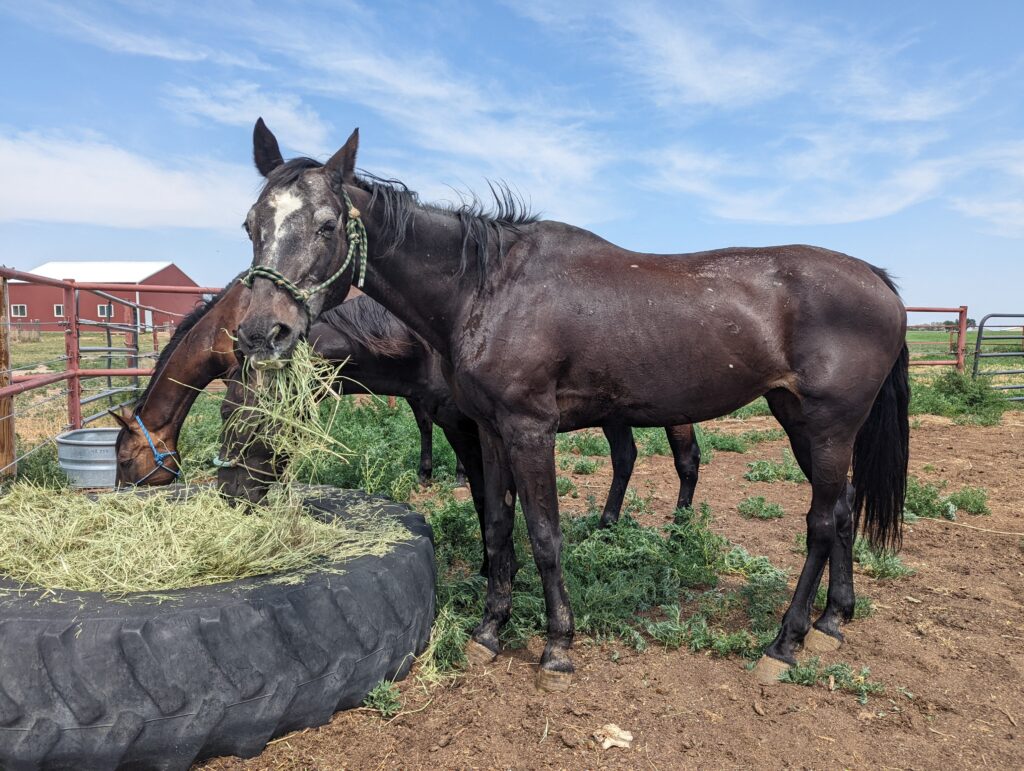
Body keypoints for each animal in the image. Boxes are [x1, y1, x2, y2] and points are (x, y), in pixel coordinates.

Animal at [234, 120, 909, 691]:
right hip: (798, 419)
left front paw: (557, 644)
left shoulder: (531, 429)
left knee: (819, 522)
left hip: (828, 424)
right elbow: (498, 525)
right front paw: (490, 630)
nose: (263, 333)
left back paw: (784, 643)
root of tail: (878, 280)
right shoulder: (489, 430)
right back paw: (832, 620)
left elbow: (544, 534)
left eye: (327, 225)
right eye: (251, 225)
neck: (488, 287)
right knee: (842, 510)